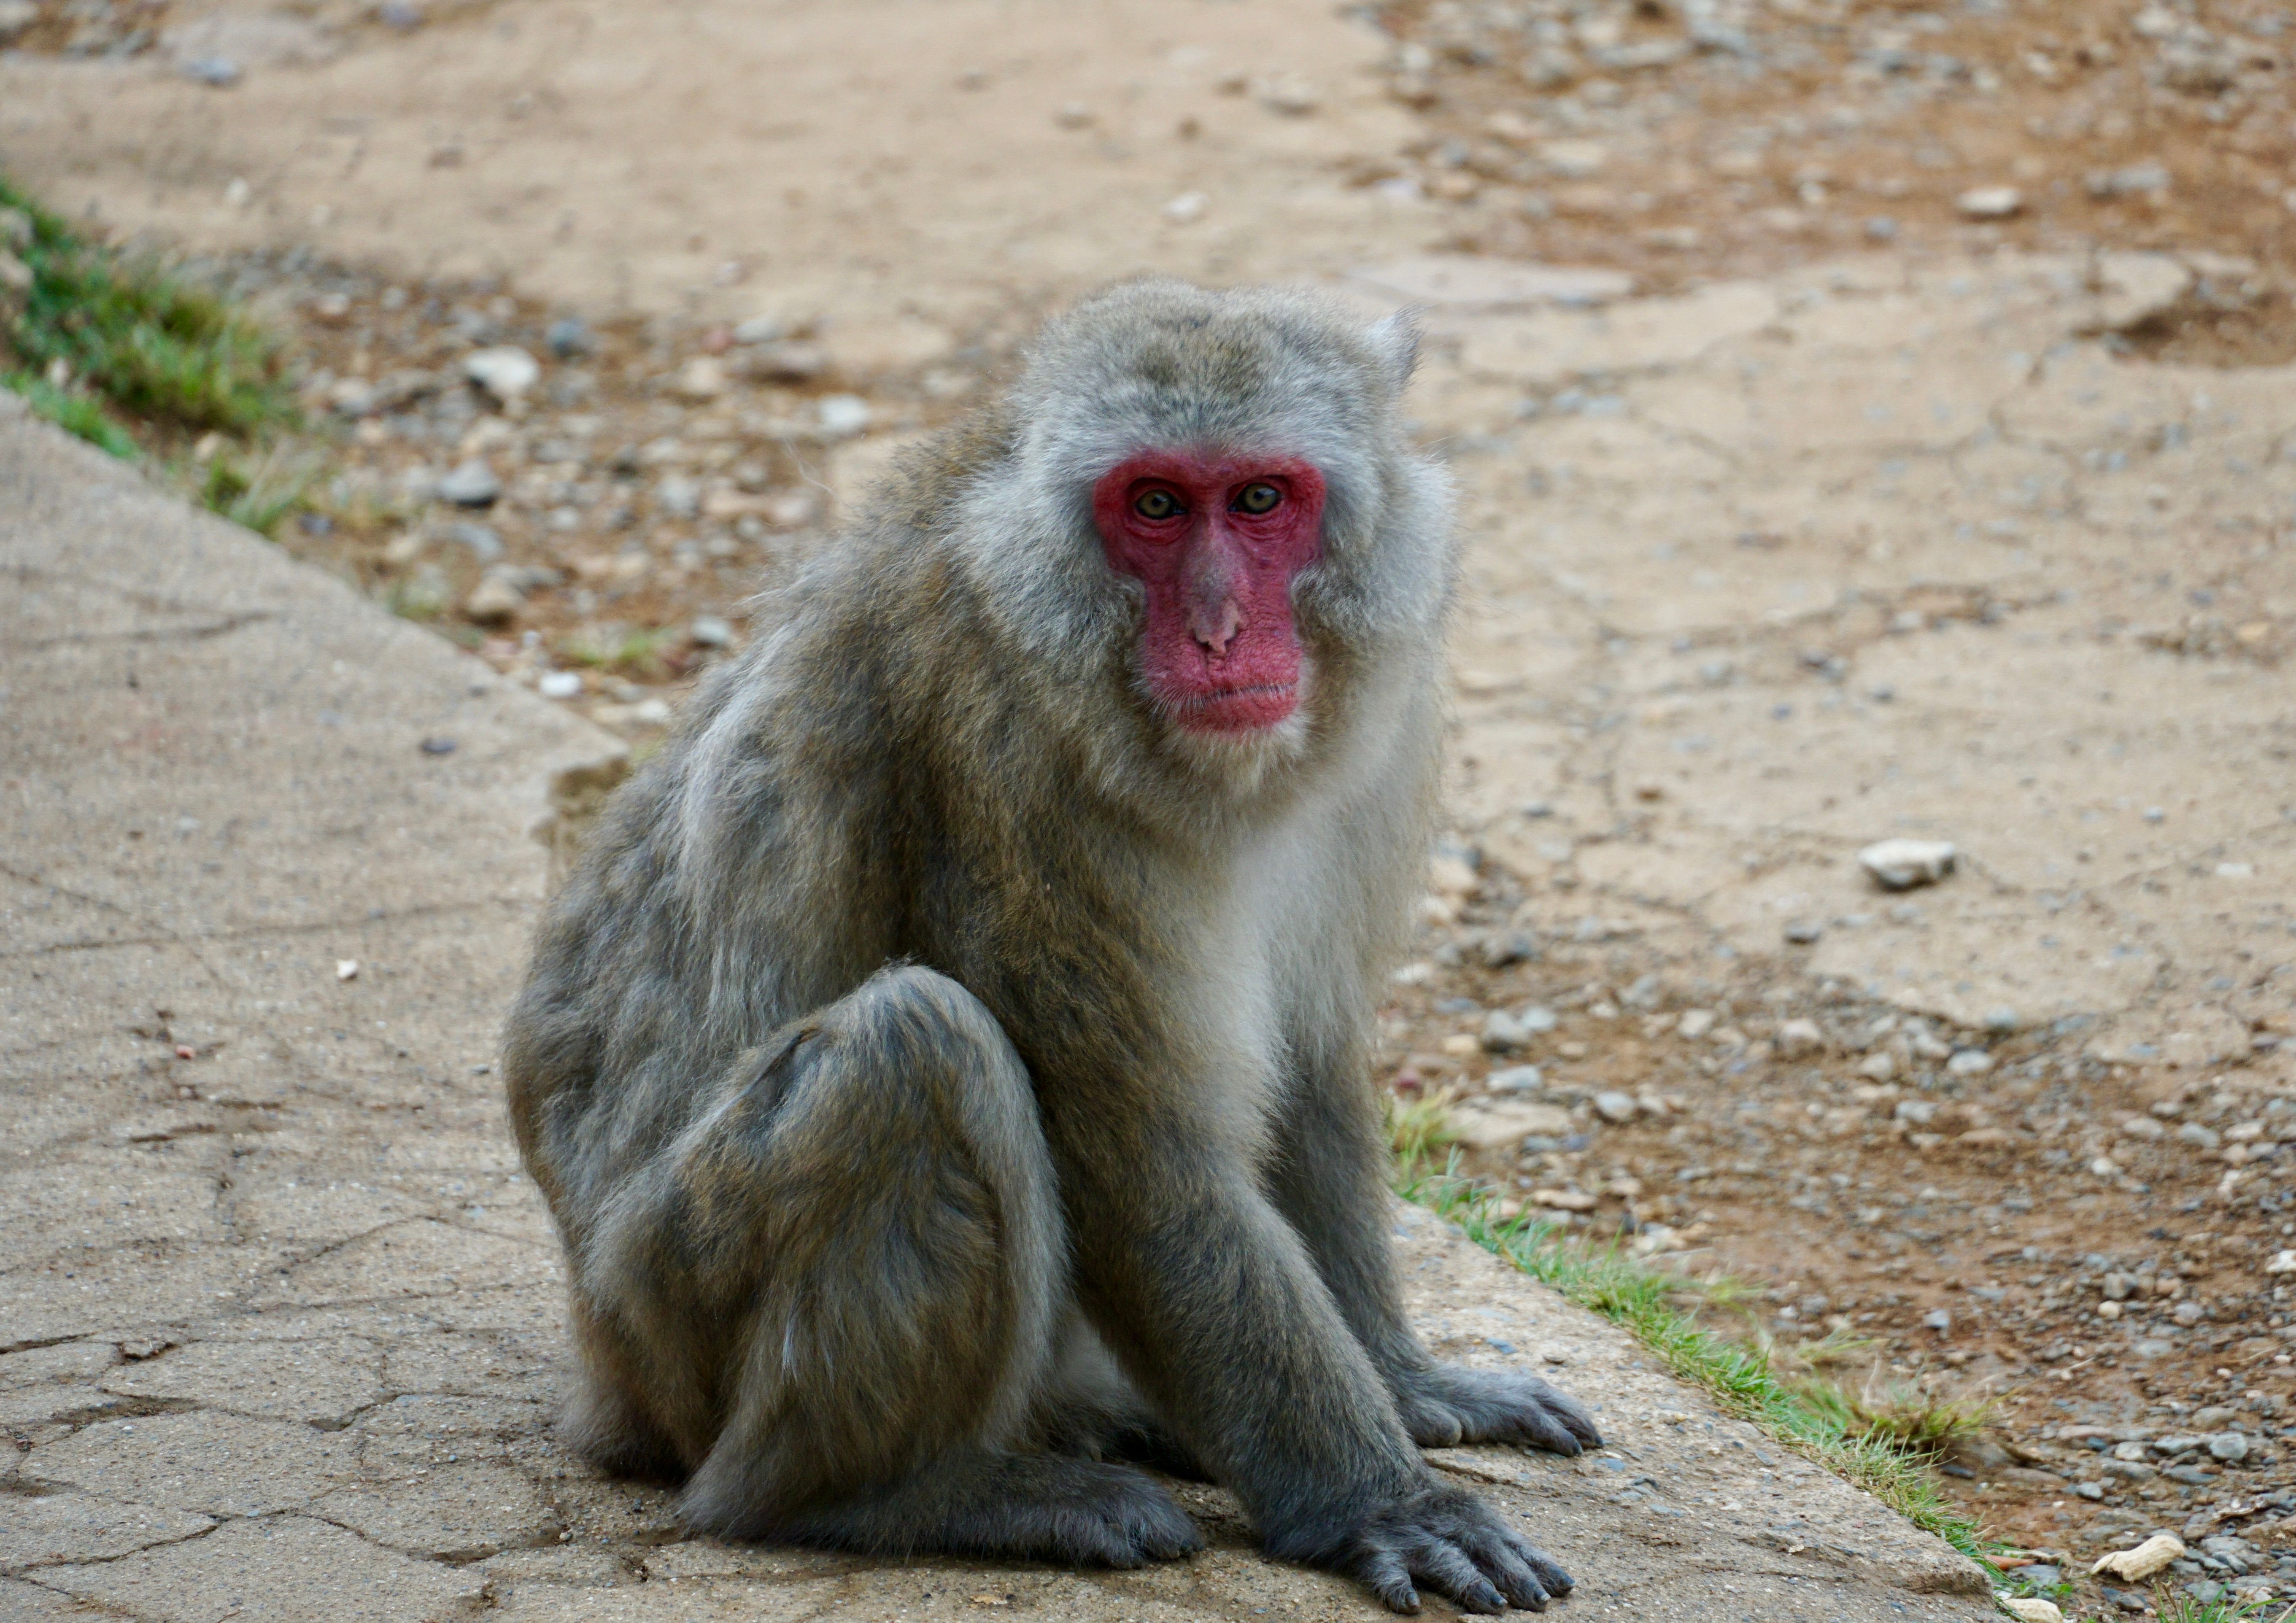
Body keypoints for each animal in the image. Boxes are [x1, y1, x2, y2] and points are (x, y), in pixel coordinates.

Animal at [503, 278, 1601, 1615]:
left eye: (1260, 499)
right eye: (1153, 504)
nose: (1221, 630)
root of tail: (596, 1362)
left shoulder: (1378, 739)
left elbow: (1307, 1062)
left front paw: (1408, 1384)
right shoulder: (1003, 750)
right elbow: (1139, 1152)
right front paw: (1377, 1502)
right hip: (671, 1320)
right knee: (914, 1046)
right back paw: (886, 1495)